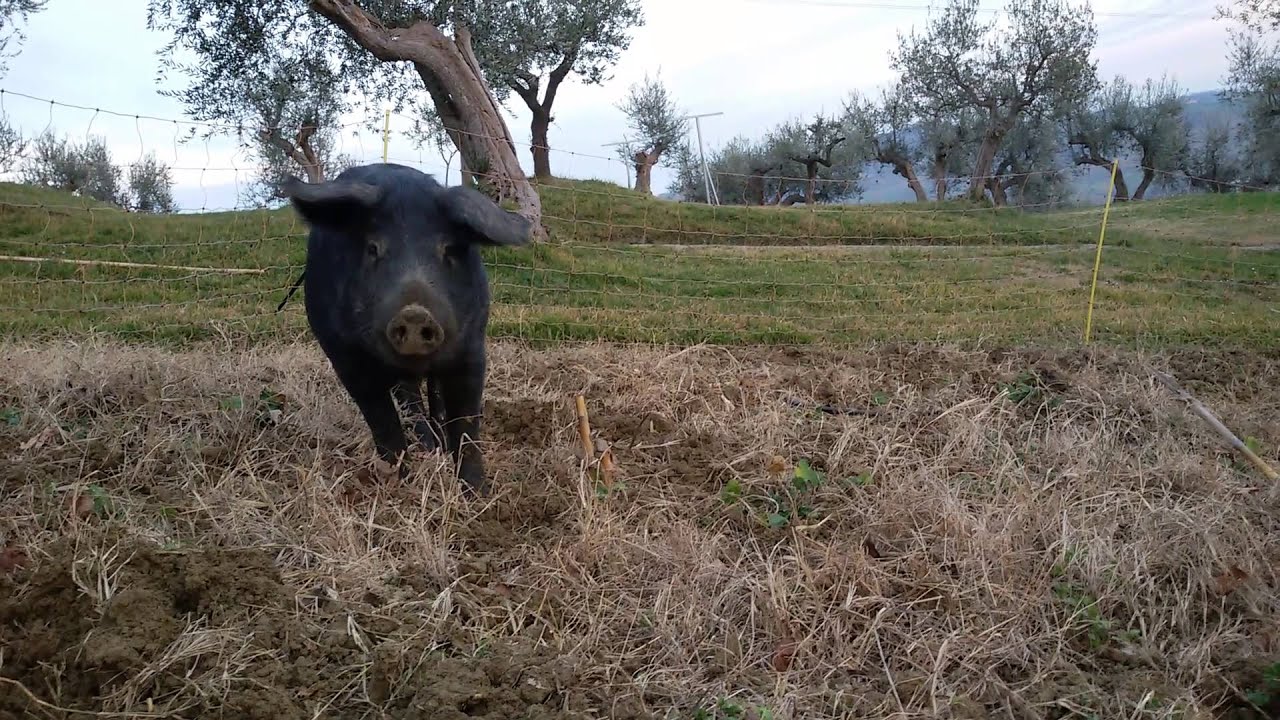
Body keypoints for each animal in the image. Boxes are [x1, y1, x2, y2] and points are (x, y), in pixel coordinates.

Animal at [280, 163, 532, 494]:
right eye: (373, 248)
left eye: (448, 249)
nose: (414, 313)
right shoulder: (344, 356)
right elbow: (381, 419)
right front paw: (399, 480)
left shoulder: (472, 348)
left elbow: (466, 422)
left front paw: (477, 493)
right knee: (408, 397)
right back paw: (427, 444)